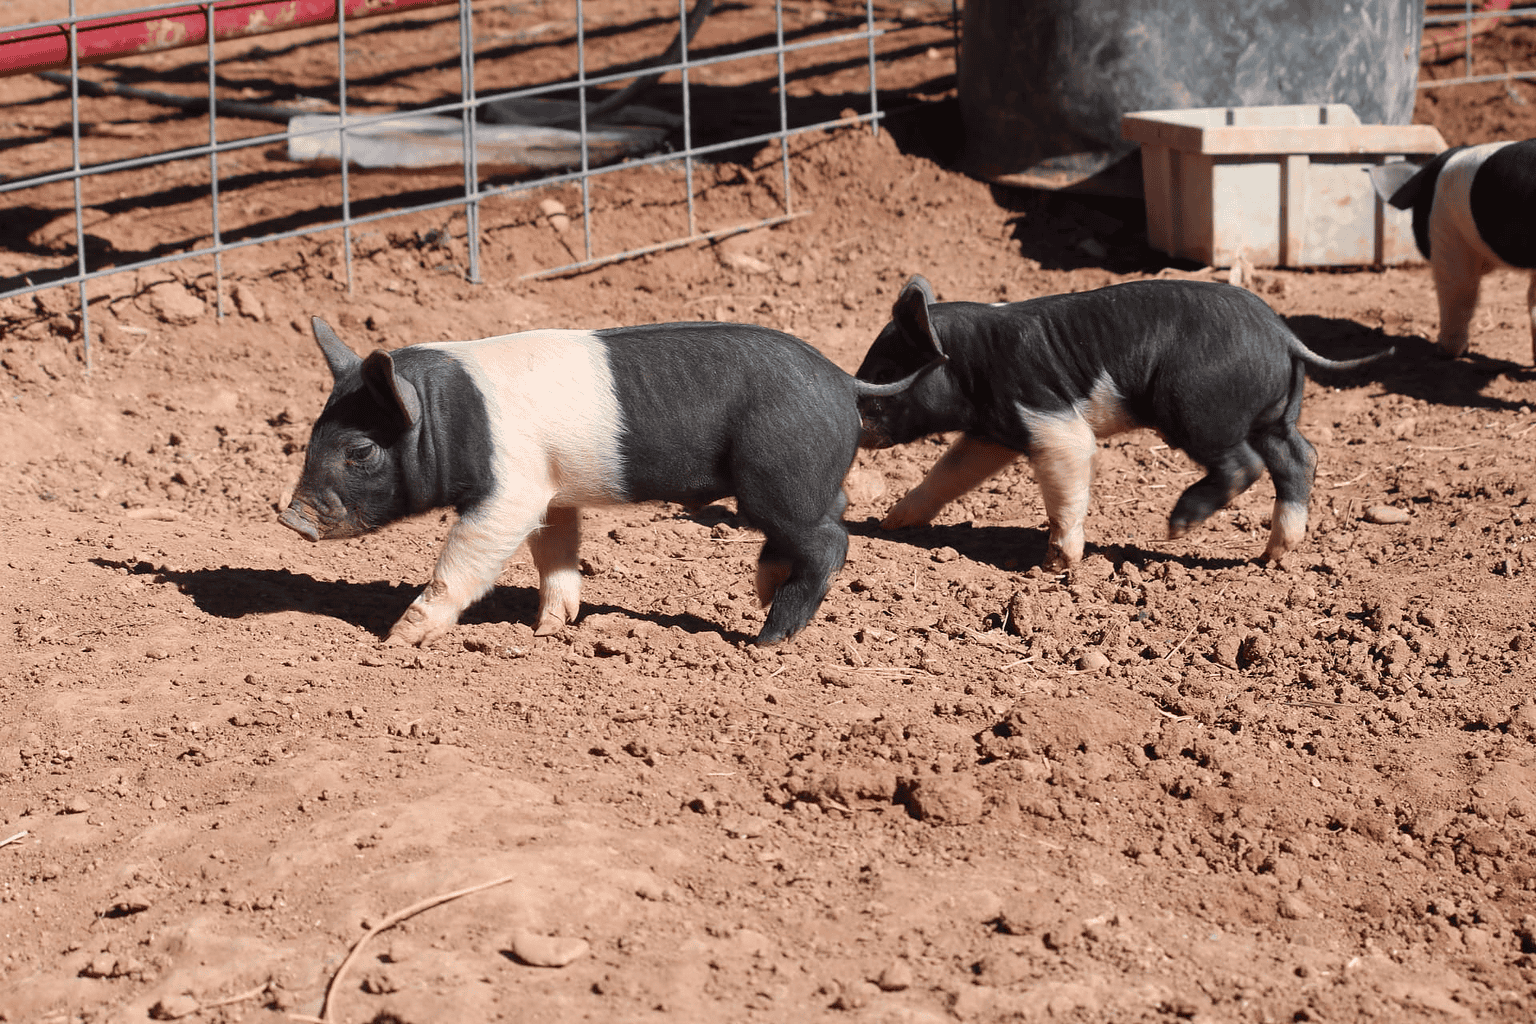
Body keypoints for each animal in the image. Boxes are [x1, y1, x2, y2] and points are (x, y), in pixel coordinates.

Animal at [279, 317, 943, 646]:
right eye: (311, 436)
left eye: (360, 450)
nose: (291, 517)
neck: (448, 417)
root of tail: (843, 380)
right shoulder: (551, 490)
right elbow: (556, 551)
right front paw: (550, 629)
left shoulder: (511, 491)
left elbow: (464, 559)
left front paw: (395, 640)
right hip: (801, 479)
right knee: (826, 520)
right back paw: (762, 594)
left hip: (780, 475)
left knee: (830, 541)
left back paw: (765, 640)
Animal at [854, 275, 1392, 569]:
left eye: (883, 373)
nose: (854, 424)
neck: (972, 365)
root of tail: (1283, 334)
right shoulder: (993, 433)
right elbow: (947, 473)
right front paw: (890, 523)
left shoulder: (1049, 418)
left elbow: (1068, 478)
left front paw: (1055, 565)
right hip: (1273, 416)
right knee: (1300, 458)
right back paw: (1273, 556)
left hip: (1197, 407)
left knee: (1244, 464)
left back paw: (1177, 528)